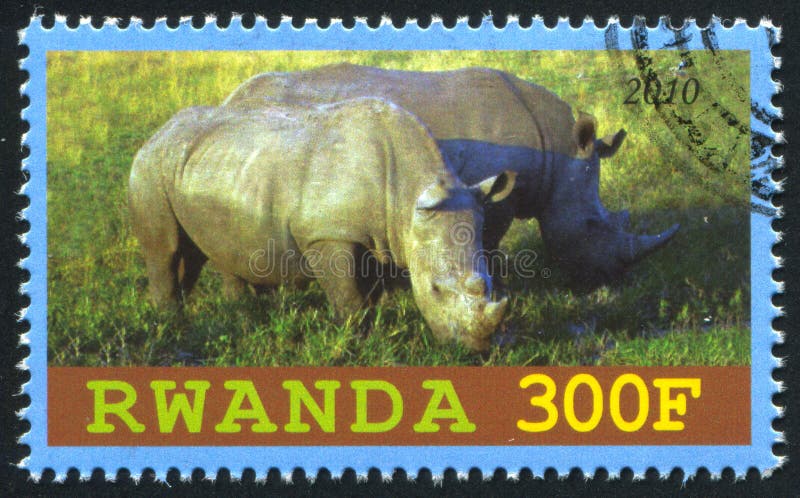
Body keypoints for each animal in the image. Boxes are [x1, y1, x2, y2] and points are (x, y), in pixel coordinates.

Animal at [129, 98, 513, 350]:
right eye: (435, 290)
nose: (474, 350)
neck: (406, 192)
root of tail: (159, 131)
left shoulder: (381, 235)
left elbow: (372, 292)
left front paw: (376, 328)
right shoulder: (329, 235)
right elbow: (348, 296)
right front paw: (357, 341)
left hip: (207, 167)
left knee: (203, 249)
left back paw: (235, 314)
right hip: (150, 167)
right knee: (166, 250)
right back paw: (171, 323)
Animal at [222, 63, 679, 287]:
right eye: (589, 225)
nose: (610, 281)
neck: (558, 151)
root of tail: (231, 98)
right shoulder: (497, 194)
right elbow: (487, 244)